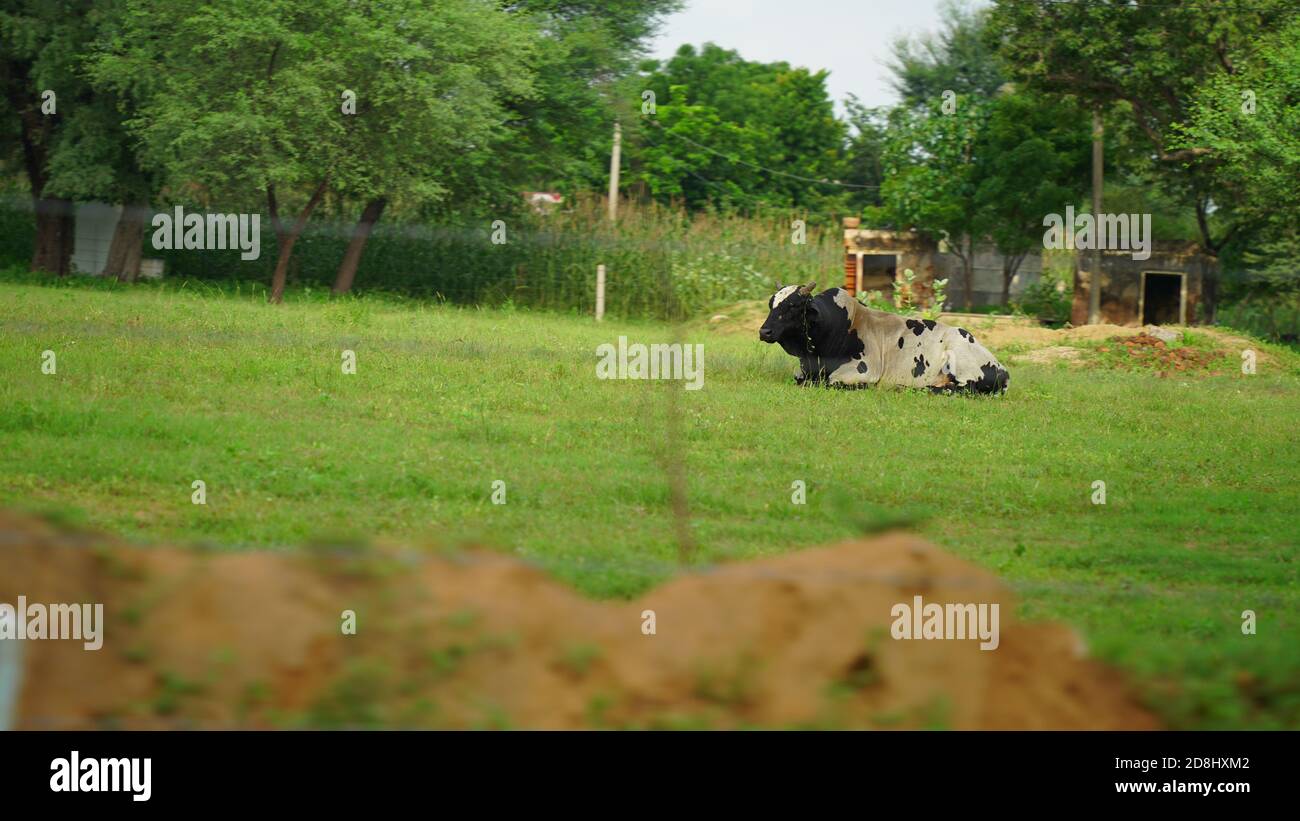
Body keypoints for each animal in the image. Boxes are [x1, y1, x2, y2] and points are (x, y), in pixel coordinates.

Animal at [758, 283, 1010, 394]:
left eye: (793, 306)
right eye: (771, 304)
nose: (764, 331)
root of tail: (1003, 370)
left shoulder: (862, 370)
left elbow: (831, 382)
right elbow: (801, 380)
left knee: (958, 389)